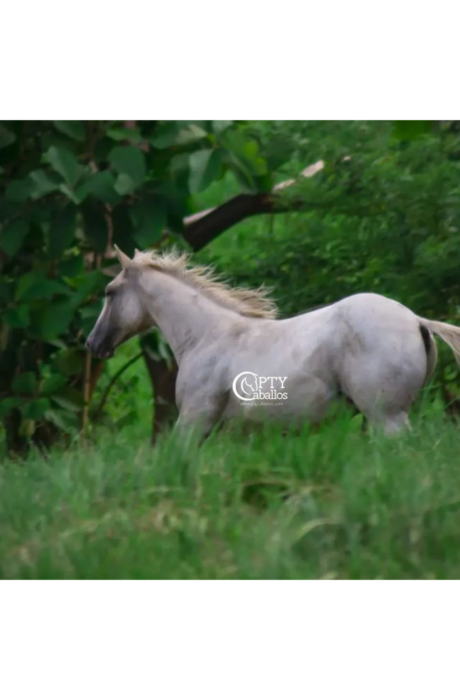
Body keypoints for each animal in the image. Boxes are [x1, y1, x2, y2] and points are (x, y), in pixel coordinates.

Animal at [86, 246, 460, 438]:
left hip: (387, 417)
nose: (92, 344)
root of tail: (415, 319)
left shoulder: (193, 420)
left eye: (109, 292)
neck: (207, 336)